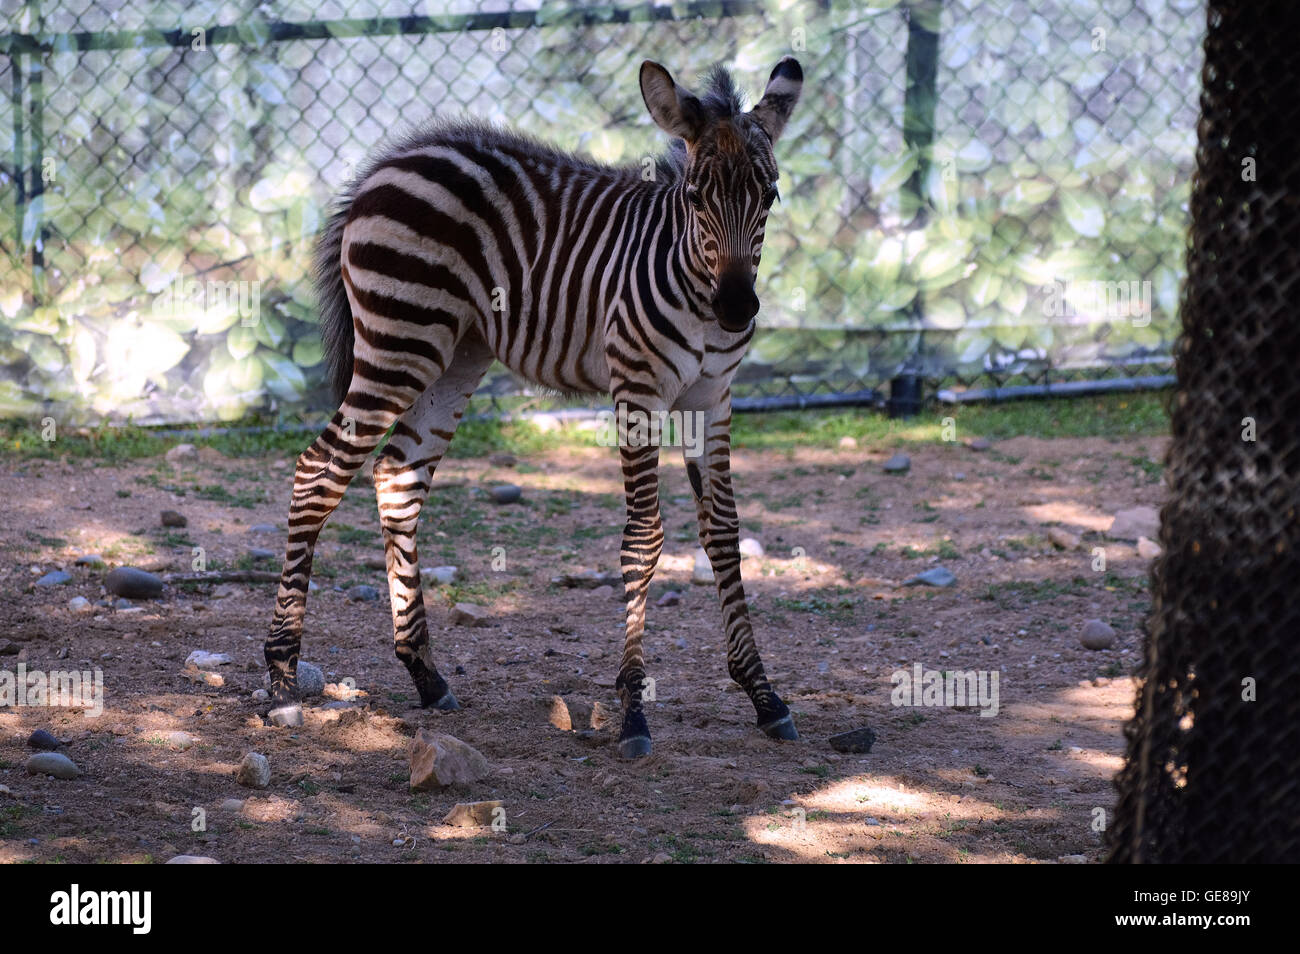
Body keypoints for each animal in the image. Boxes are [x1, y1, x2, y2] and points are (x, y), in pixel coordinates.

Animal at [264, 56, 804, 759]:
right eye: (694, 198)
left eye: (769, 197)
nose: (737, 308)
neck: (690, 274)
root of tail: (386, 166)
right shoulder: (637, 389)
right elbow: (644, 537)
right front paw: (633, 711)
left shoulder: (714, 400)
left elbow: (724, 533)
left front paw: (764, 696)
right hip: (399, 345)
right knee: (317, 471)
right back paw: (281, 673)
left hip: (455, 355)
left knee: (396, 479)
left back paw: (426, 675)